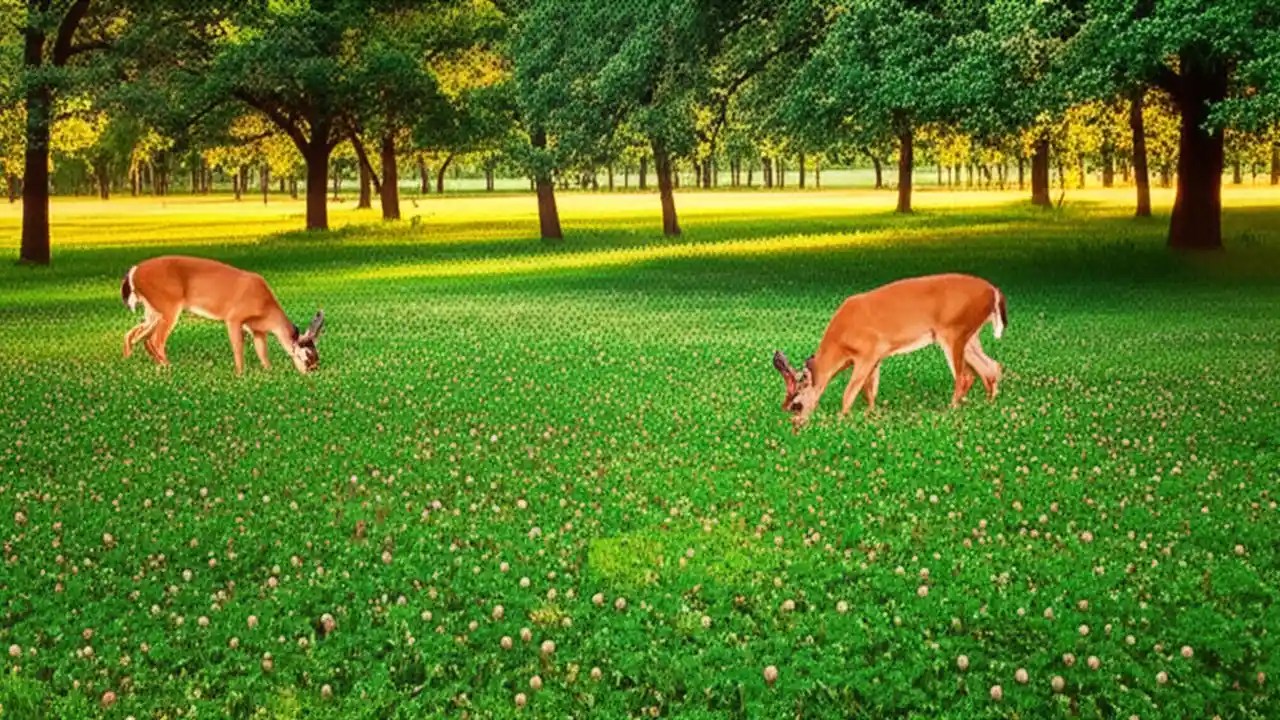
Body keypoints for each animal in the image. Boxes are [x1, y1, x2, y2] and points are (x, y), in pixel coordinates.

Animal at [120, 255, 324, 375]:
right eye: (308, 355)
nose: (312, 371)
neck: (266, 309)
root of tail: (134, 272)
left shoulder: (257, 330)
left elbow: (262, 353)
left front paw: (269, 372)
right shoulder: (233, 317)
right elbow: (238, 347)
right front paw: (240, 374)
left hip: (153, 310)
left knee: (134, 335)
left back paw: (132, 360)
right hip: (169, 305)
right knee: (155, 339)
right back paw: (169, 367)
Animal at [773, 273, 1007, 428]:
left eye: (795, 405)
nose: (795, 423)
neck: (840, 343)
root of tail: (994, 291)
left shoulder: (868, 352)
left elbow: (849, 393)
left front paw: (842, 419)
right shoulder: (876, 357)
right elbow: (869, 391)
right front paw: (870, 414)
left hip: (953, 330)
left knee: (965, 376)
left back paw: (950, 409)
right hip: (969, 335)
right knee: (992, 367)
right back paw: (989, 403)